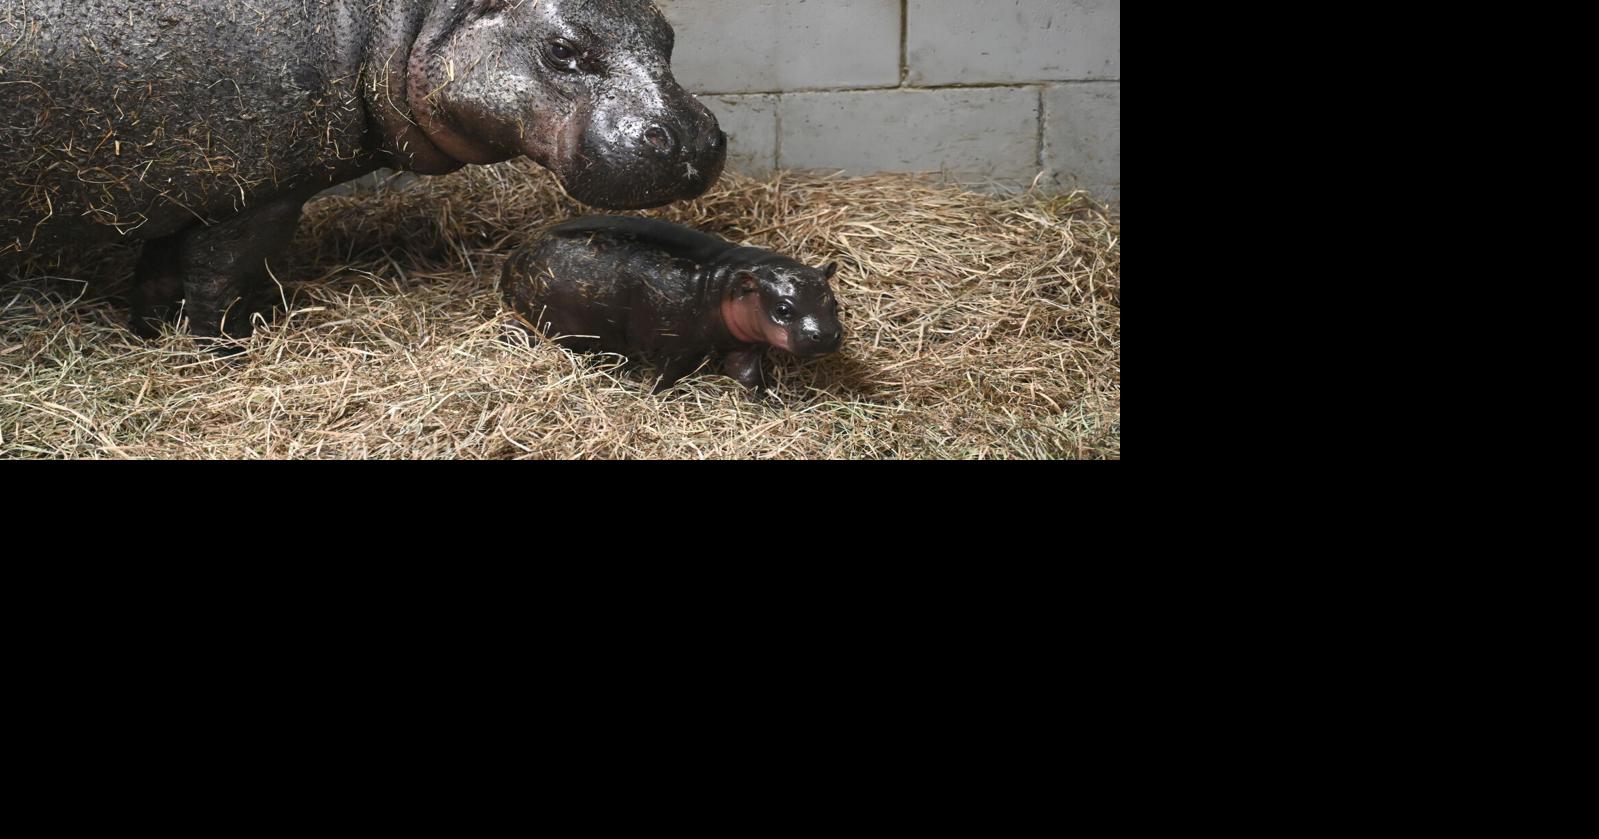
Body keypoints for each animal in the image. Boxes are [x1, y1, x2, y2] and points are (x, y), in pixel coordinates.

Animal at [0, 0, 725, 338]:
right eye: (563, 50)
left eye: (666, 31)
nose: (695, 138)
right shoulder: (255, 195)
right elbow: (214, 281)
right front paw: (223, 347)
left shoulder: (185, 185)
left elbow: (158, 275)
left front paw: (152, 333)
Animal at [502, 216, 844, 392]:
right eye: (782, 309)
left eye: (835, 304)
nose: (827, 335)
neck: (726, 286)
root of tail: (518, 254)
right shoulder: (680, 346)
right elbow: (667, 376)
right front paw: (654, 396)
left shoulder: (744, 345)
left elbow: (747, 374)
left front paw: (766, 398)